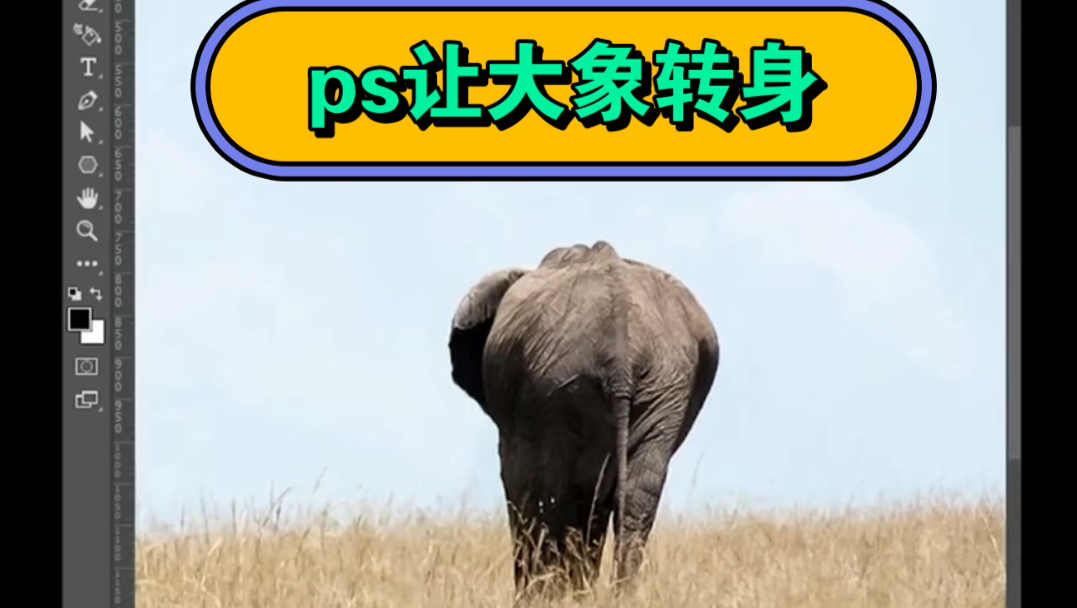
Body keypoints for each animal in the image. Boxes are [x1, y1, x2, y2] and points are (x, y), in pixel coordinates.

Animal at [448, 240, 719, 601]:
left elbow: (521, 484)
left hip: (561, 380)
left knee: (565, 491)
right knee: (634, 494)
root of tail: (621, 346)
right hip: (663, 383)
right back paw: (620, 595)